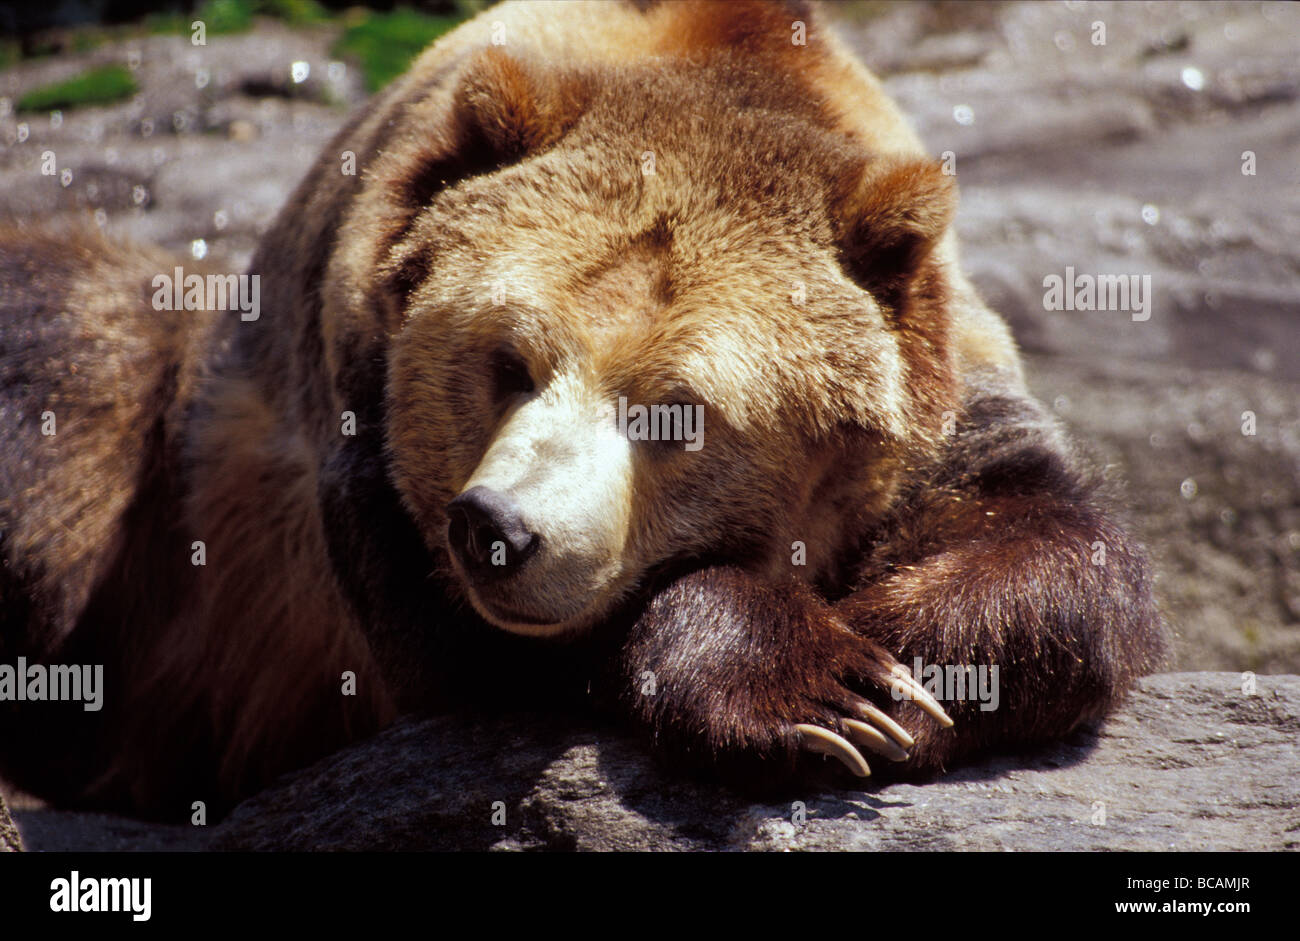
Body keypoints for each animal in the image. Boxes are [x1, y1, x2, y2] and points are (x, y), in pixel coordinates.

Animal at [0, 0, 1166, 820]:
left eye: (676, 413)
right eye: (508, 359)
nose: (500, 530)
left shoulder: (948, 397)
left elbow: (1045, 551)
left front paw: (888, 680)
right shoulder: (361, 448)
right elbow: (493, 662)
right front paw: (812, 691)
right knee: (63, 361)